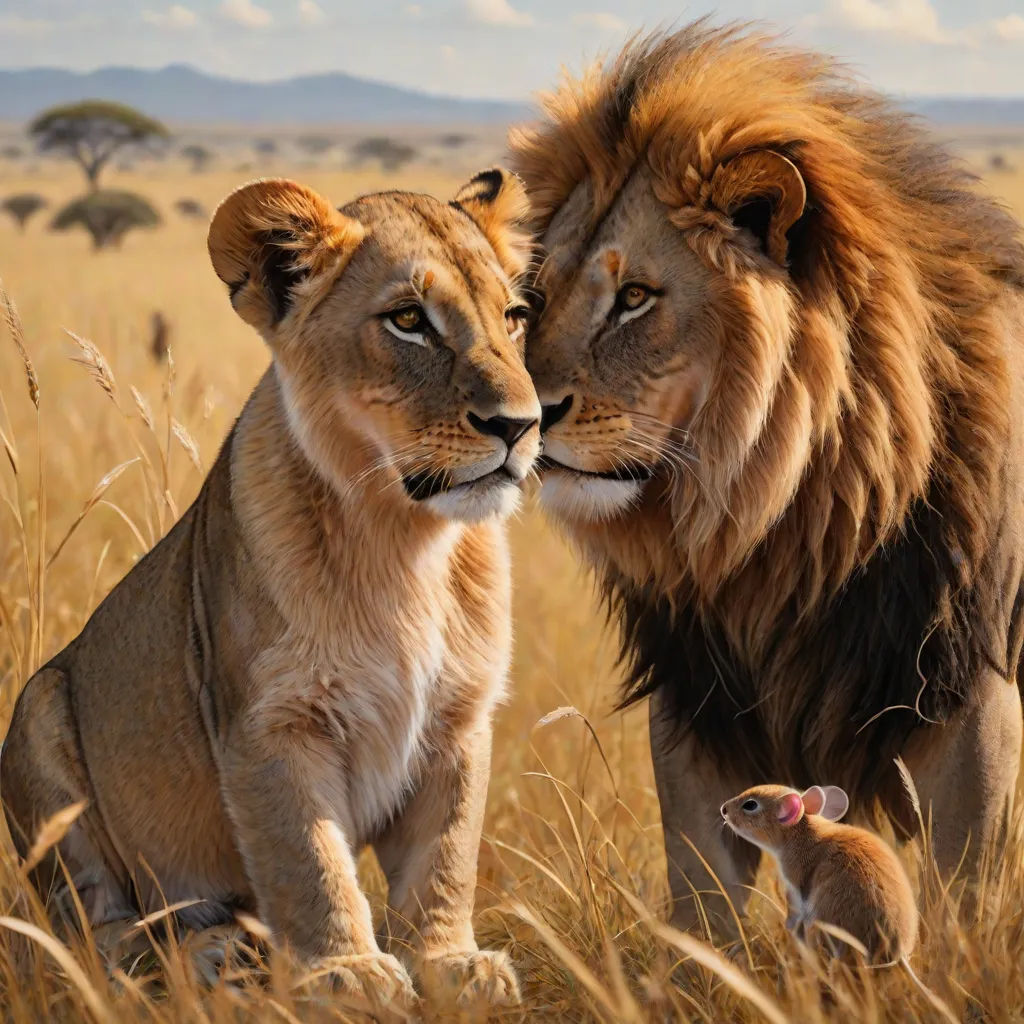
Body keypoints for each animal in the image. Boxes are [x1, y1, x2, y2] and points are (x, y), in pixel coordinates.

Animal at [2, 169, 539, 1017]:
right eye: (408, 321)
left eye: (514, 318)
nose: (522, 424)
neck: (402, 539)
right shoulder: (269, 725)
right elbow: (308, 859)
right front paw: (346, 973)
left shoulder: (460, 718)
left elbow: (447, 857)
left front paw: (451, 963)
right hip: (39, 713)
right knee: (94, 933)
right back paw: (214, 951)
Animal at [509, 24, 1024, 935]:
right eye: (536, 296)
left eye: (635, 297)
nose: (525, 415)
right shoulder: (699, 704)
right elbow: (703, 911)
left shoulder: (972, 700)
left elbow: (965, 903)